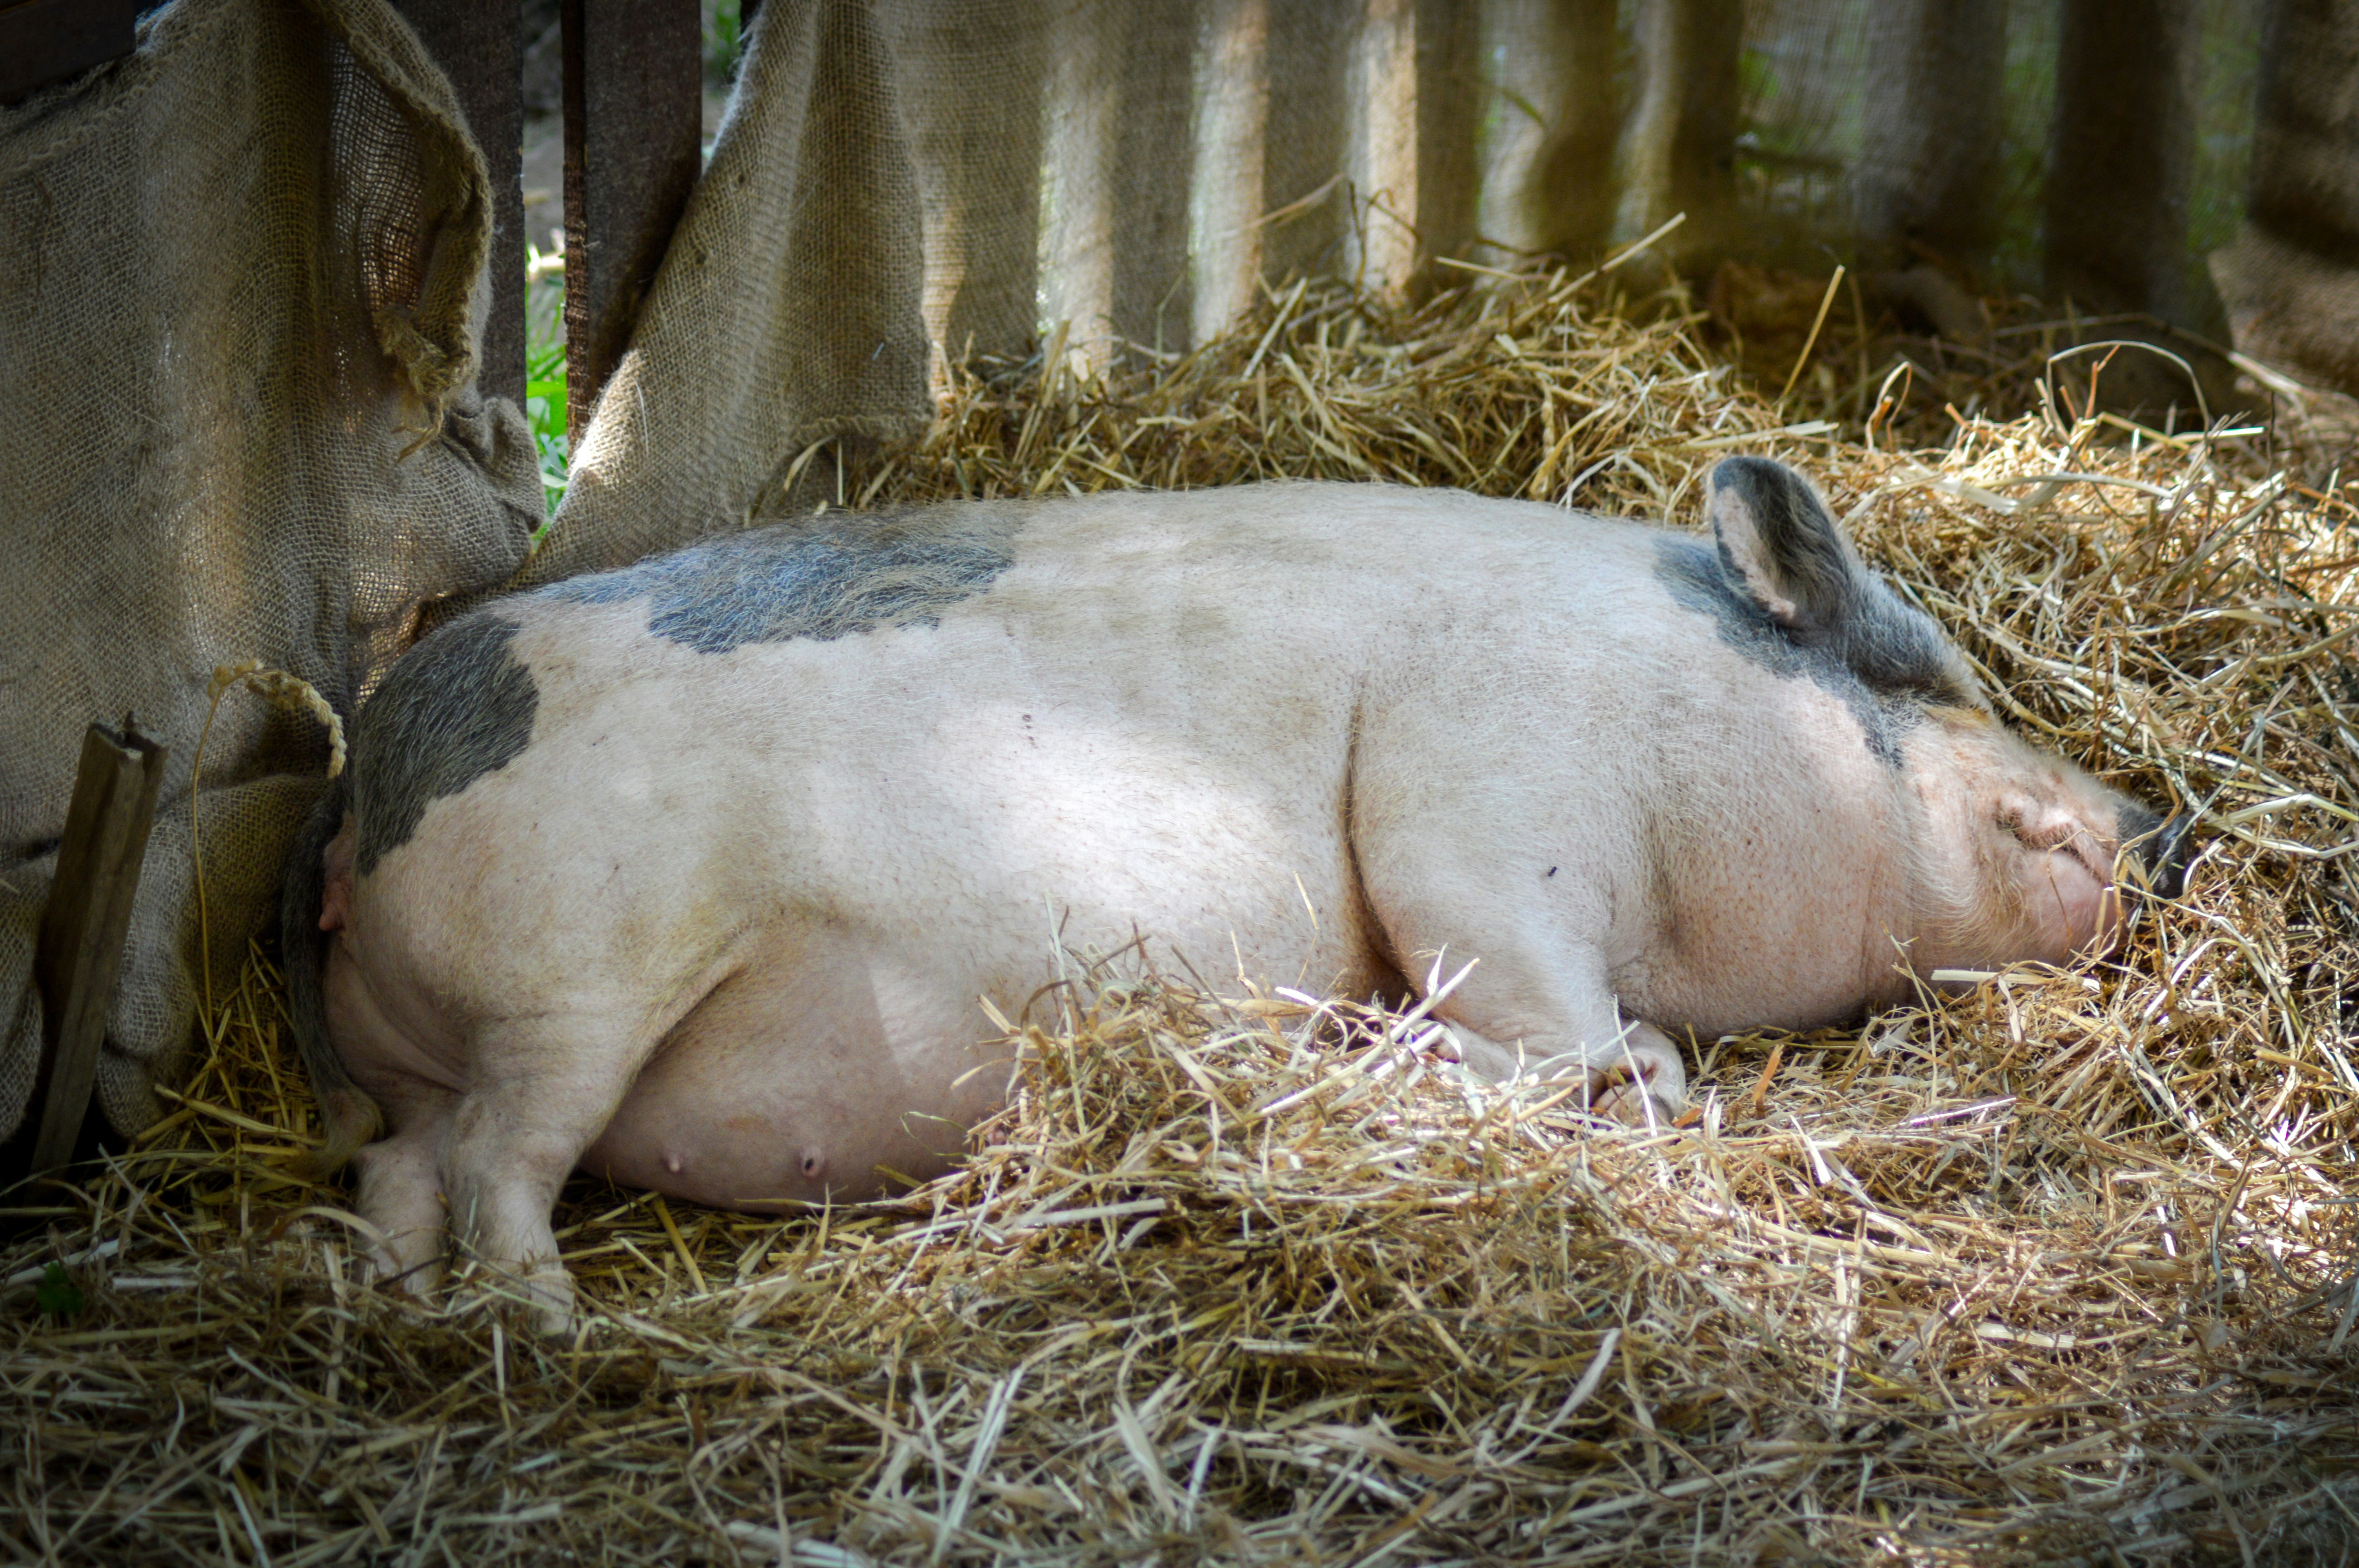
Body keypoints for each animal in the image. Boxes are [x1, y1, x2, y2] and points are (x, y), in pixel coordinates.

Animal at [282, 458, 2186, 1327]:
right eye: (1919, 672)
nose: (2160, 827)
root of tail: (357, 802)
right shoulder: (1476, 807)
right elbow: (1584, 1040)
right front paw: (1381, 1056)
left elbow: (1610, 1059)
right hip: (576, 973)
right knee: (501, 1172)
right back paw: (550, 1322)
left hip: (456, 1052)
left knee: (407, 1168)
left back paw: (394, 1294)